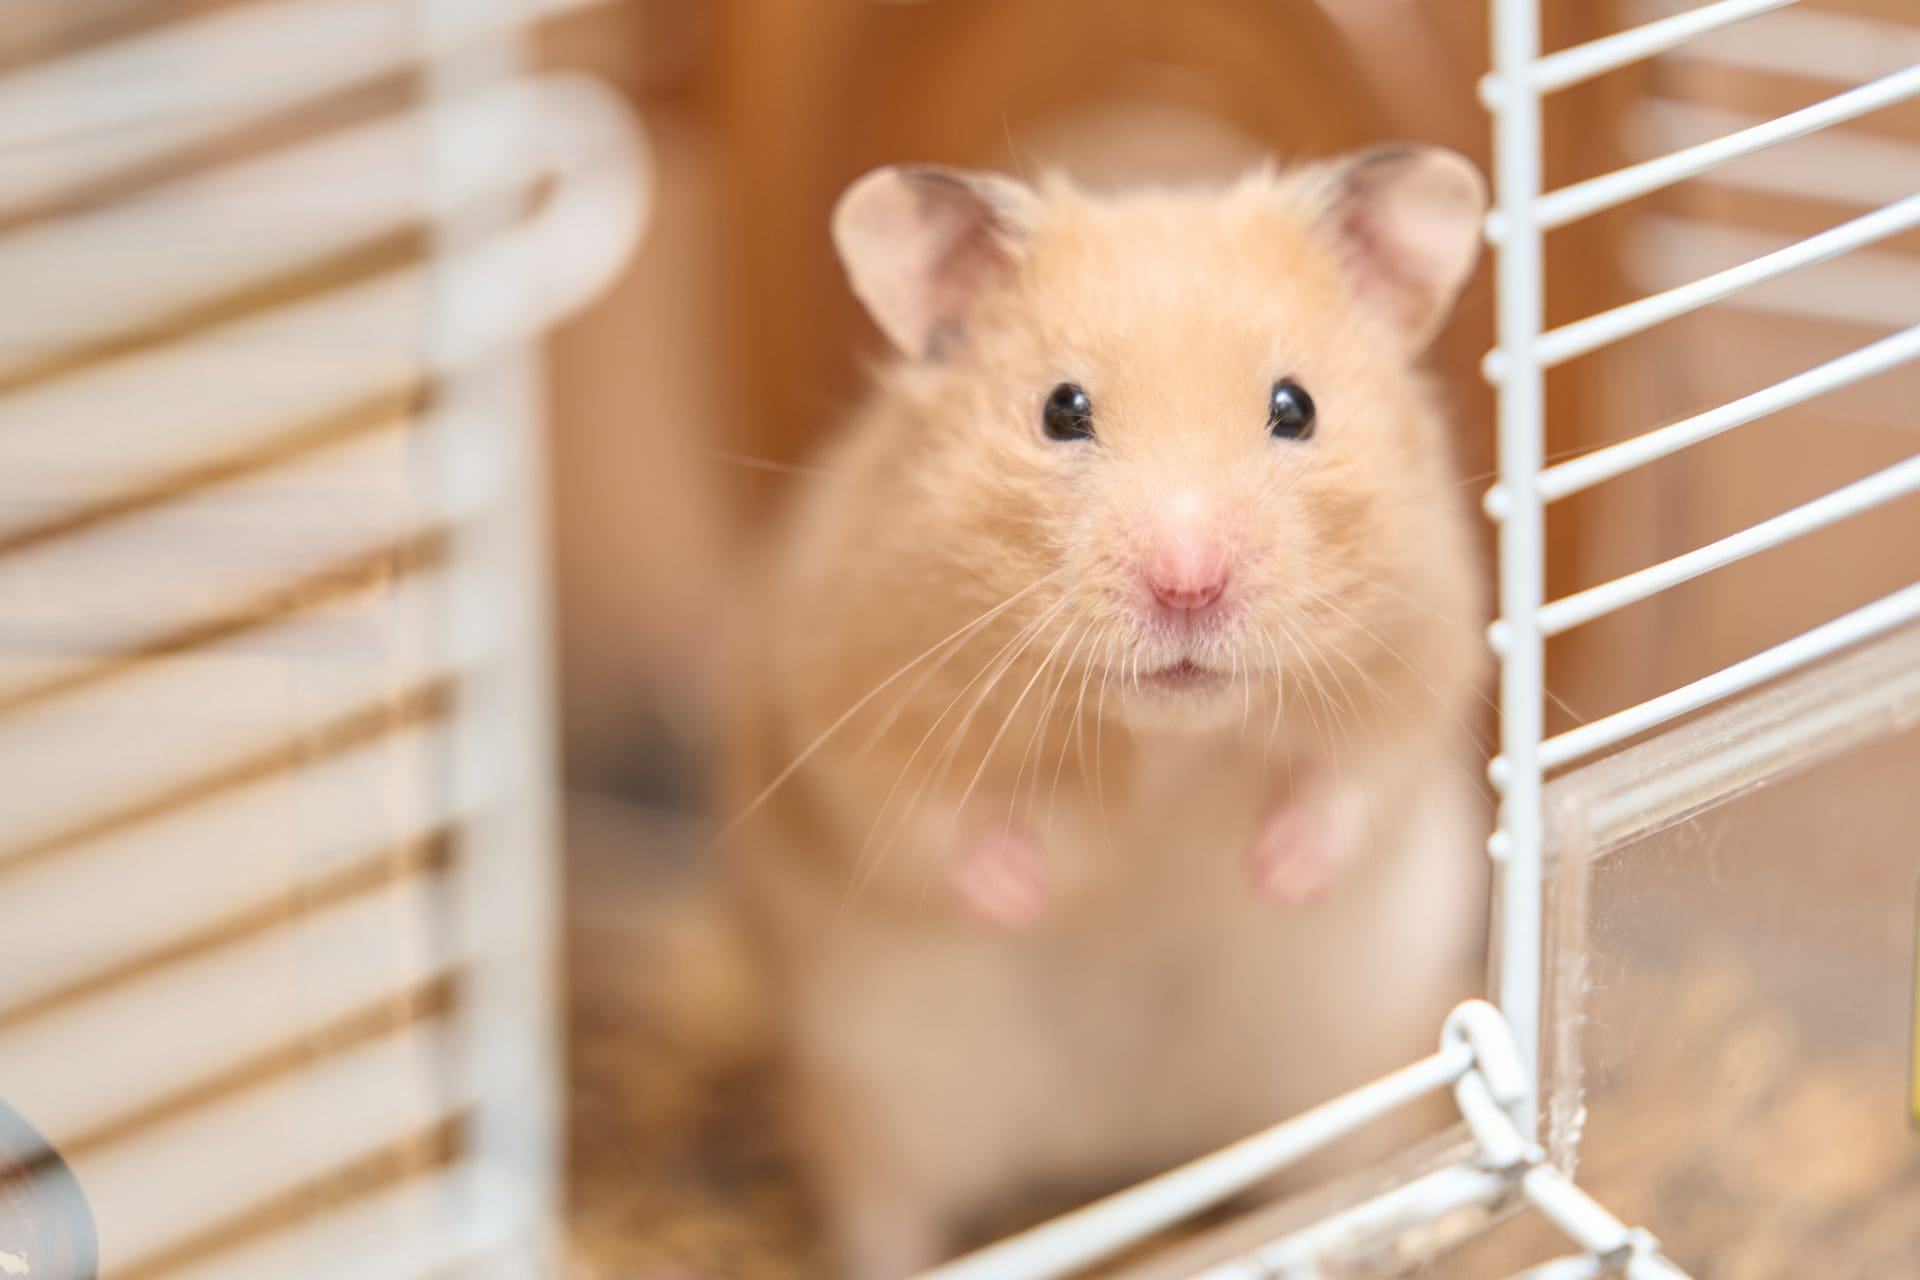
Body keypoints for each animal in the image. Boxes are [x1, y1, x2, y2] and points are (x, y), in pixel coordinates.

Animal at [723, 147, 1490, 1279]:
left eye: (1296, 406)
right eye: (1061, 409)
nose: (1188, 582)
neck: (1161, 741)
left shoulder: (1426, 657)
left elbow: (1354, 790)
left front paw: (1274, 875)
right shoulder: (840, 698)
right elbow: (924, 818)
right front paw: (1034, 889)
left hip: (1347, 1086)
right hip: (884, 1102)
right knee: (884, 1212)